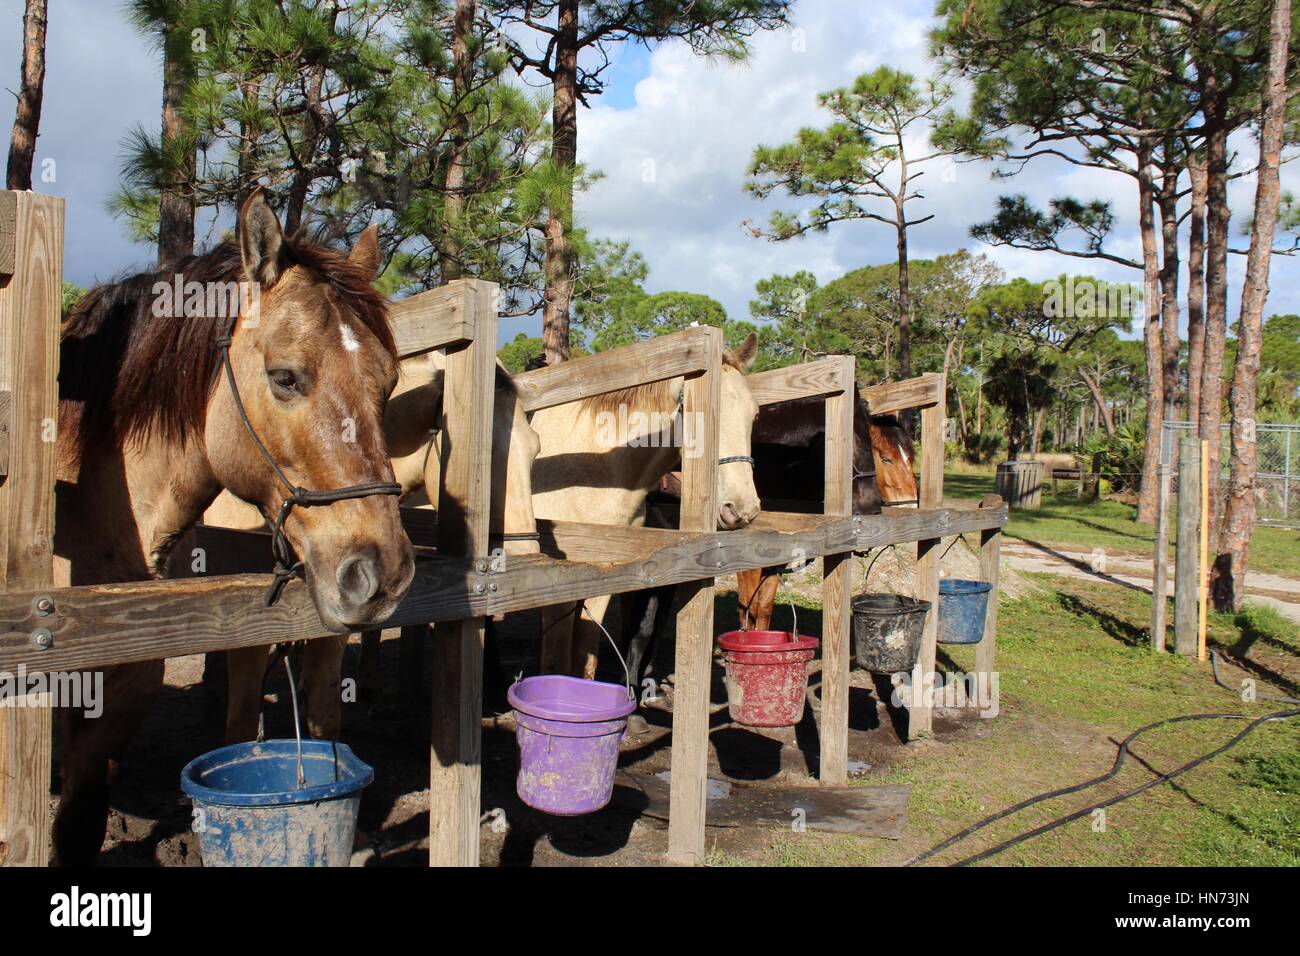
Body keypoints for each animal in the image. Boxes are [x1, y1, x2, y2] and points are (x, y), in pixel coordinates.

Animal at [208, 355, 540, 742]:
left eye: (535, 449)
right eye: (483, 462)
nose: (529, 558)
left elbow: (323, 705)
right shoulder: (245, 620)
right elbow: (242, 715)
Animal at [528, 334, 763, 680]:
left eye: (754, 414)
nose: (743, 508)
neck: (593, 471)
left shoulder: (605, 581)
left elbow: (586, 660)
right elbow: (555, 663)